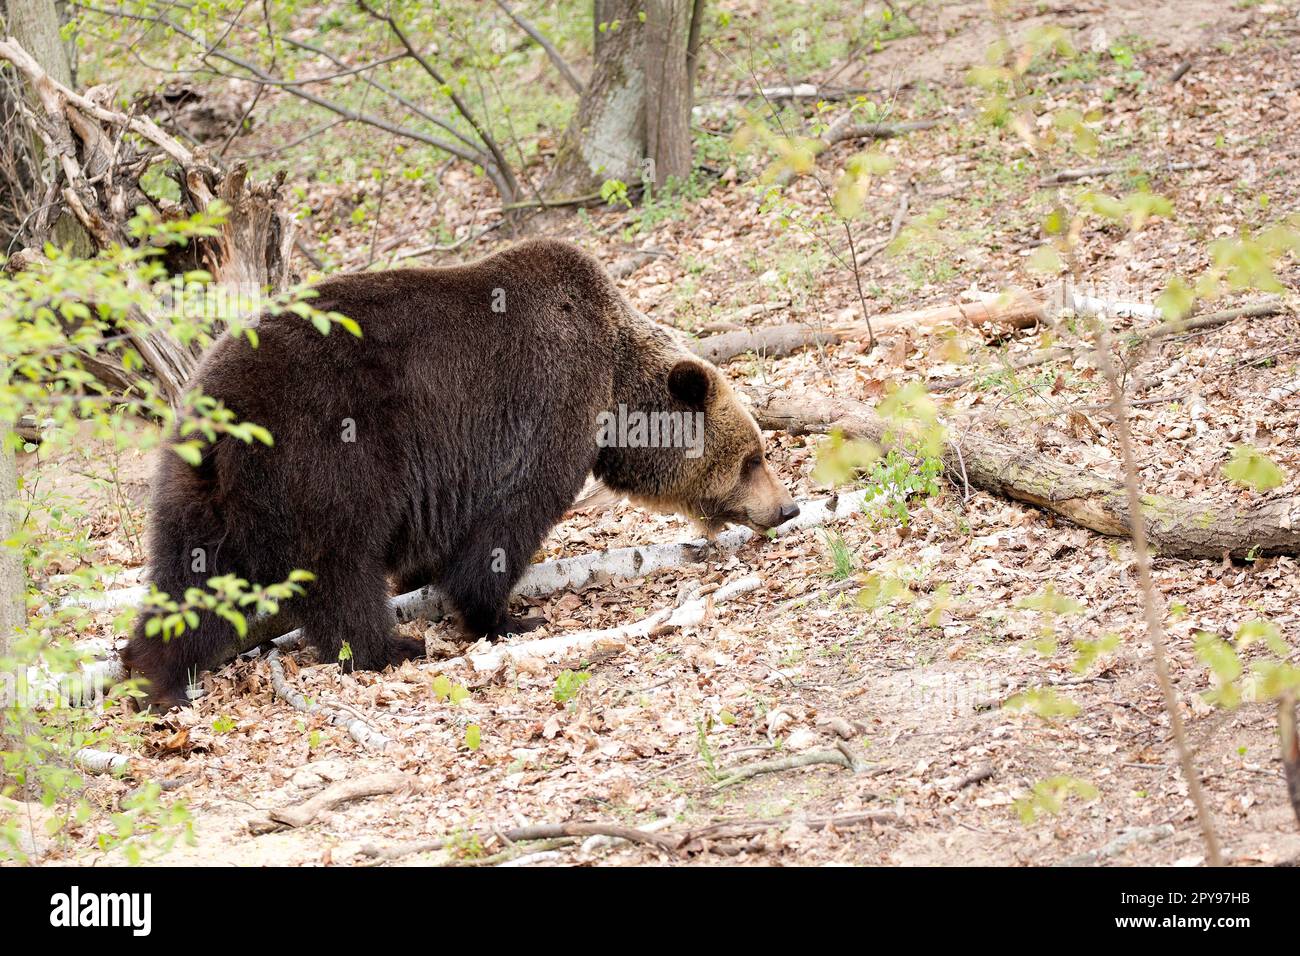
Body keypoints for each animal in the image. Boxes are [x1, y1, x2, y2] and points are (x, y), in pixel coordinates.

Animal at [123, 238, 799, 710]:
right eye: (753, 458)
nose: (786, 507)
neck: (613, 382)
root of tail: (218, 418)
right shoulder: (544, 404)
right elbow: (506, 522)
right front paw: (505, 617)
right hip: (328, 455)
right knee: (340, 564)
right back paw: (388, 647)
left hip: (200, 492)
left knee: (187, 579)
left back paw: (156, 679)